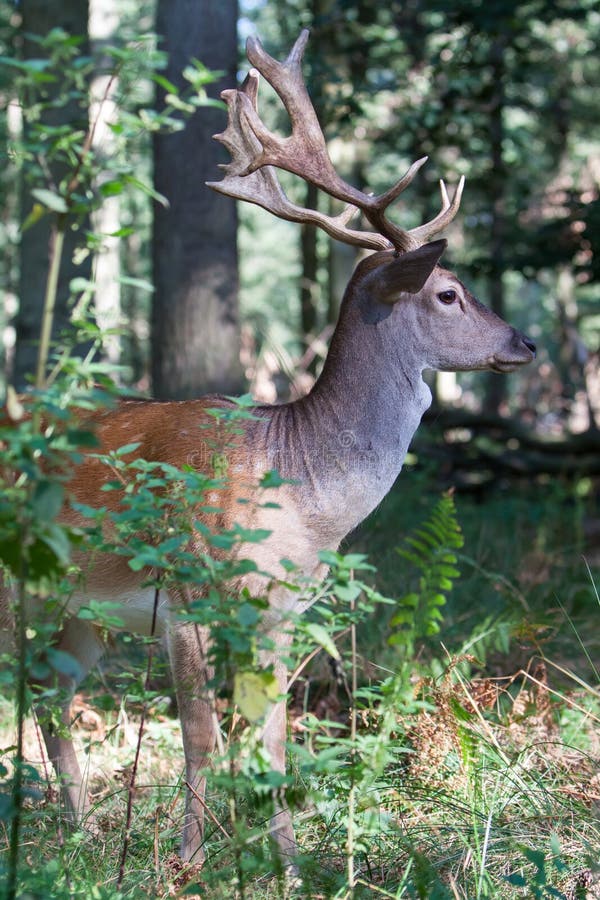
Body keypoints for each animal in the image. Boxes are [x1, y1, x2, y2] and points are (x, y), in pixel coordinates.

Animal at [0, 29, 535, 867]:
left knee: (53, 698)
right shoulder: (184, 593)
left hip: (79, 609)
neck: (301, 500)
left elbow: (273, 741)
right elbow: (201, 737)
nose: (525, 343)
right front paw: (189, 860)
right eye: (447, 291)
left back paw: (80, 831)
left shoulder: (282, 614)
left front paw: (286, 859)